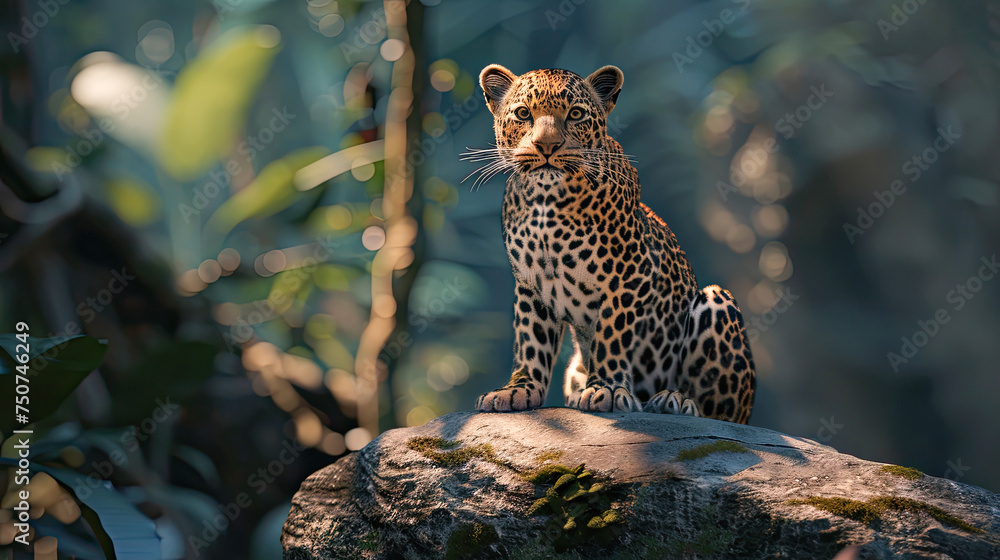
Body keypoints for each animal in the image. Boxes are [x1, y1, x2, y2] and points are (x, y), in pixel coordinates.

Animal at [470, 64, 756, 424]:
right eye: (523, 114)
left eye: (575, 114)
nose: (547, 146)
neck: (545, 202)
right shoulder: (530, 285)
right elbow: (531, 341)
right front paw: (517, 391)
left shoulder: (631, 276)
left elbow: (611, 335)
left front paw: (605, 389)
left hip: (717, 302)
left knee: (720, 413)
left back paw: (675, 401)